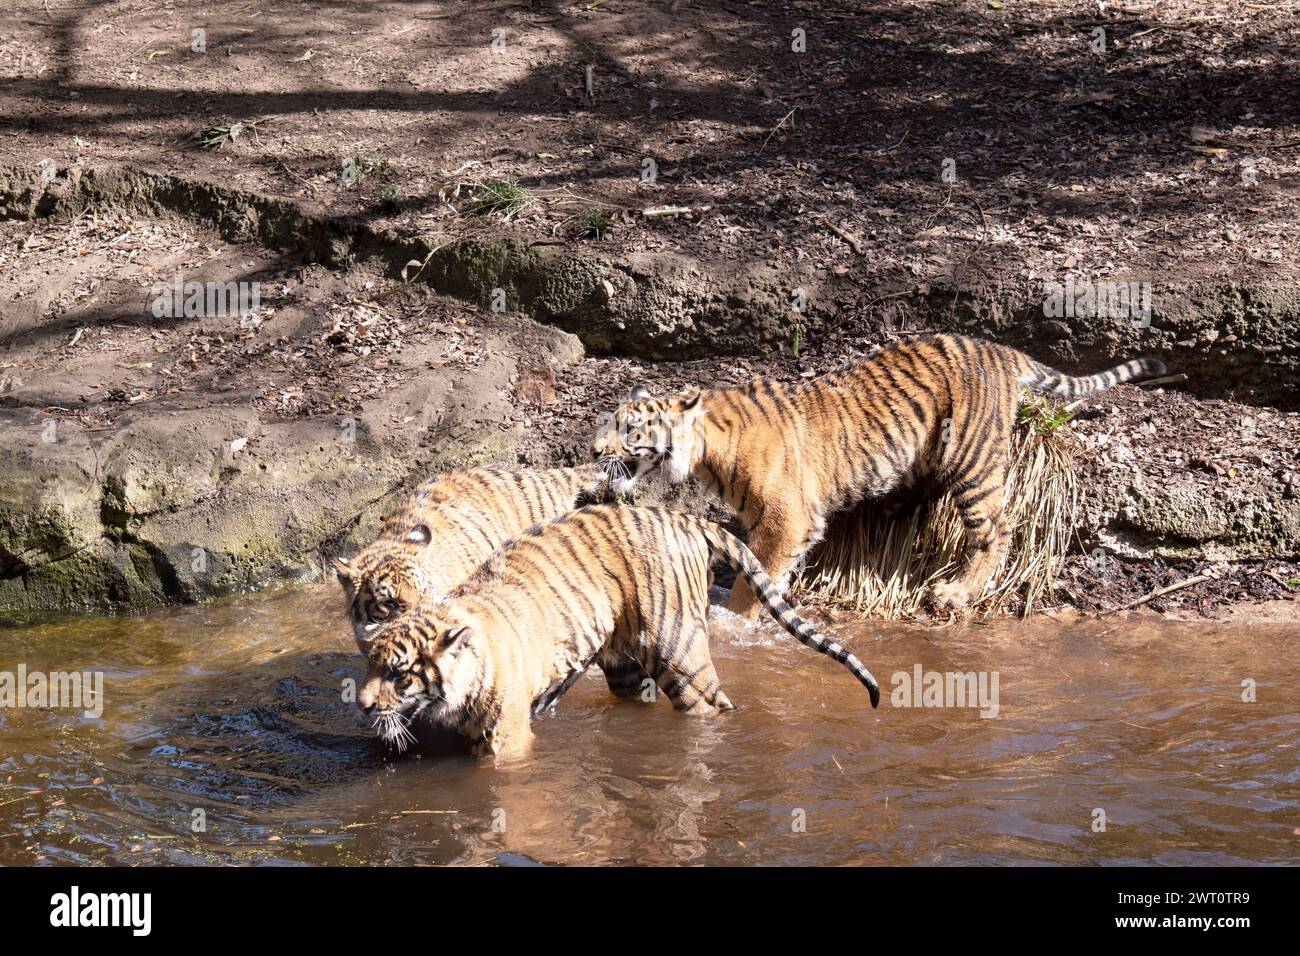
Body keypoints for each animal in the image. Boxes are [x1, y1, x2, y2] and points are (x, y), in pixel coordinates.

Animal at [357, 504, 881, 759]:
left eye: (399, 674)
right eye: (370, 664)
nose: (359, 704)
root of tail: (684, 516)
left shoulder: (507, 737)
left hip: (680, 655)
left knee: (714, 706)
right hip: (625, 666)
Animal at [591, 333, 1166, 617]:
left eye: (628, 429)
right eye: (608, 422)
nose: (594, 450)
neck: (707, 450)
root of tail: (1000, 349)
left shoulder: (785, 518)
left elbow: (753, 585)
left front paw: (736, 627)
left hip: (973, 461)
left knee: (997, 531)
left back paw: (957, 594)